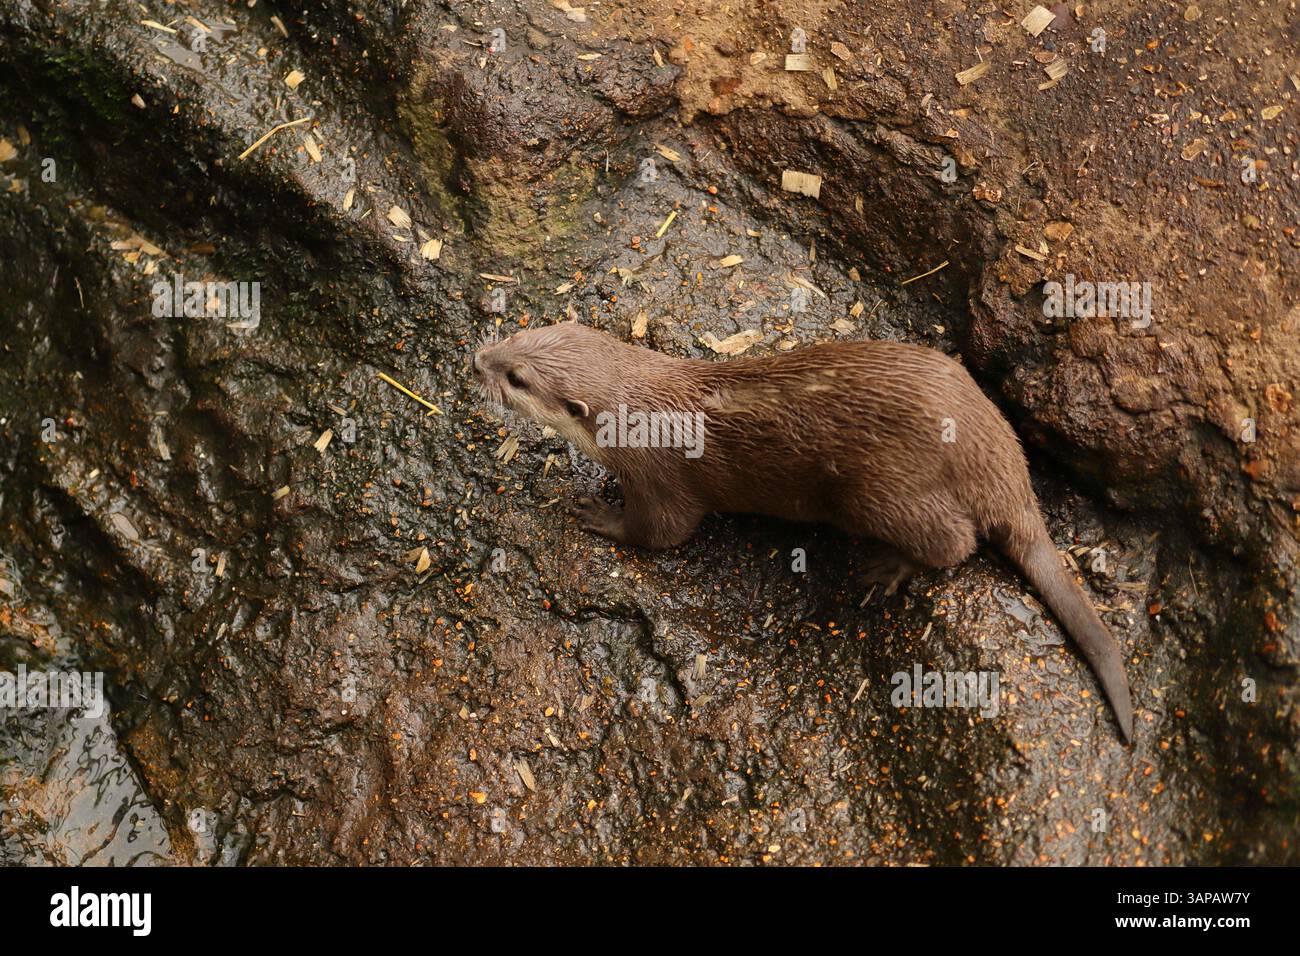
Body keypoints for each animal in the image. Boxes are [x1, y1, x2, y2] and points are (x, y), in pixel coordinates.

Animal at [472, 322, 1134, 742]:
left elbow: (662, 531)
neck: (648, 409)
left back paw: (888, 569)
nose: (478, 359)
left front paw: (598, 513)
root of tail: (998, 457)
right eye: (518, 336)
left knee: (955, 542)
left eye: (517, 378)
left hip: (880, 490)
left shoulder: (663, 479)